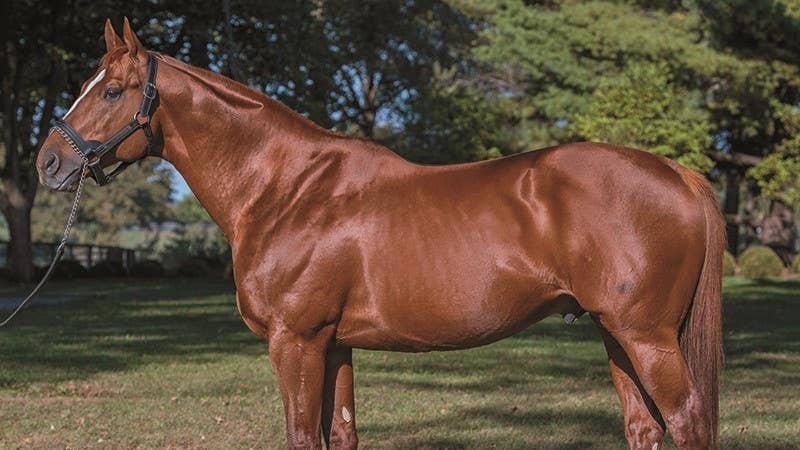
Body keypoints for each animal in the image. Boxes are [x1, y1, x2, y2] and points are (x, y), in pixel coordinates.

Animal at [37, 19, 724, 450]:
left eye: (113, 91)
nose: (48, 162)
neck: (287, 188)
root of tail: (679, 173)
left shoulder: (295, 342)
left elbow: (300, 436)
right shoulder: (334, 345)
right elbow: (340, 432)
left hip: (647, 337)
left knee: (687, 422)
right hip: (616, 334)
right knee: (645, 428)